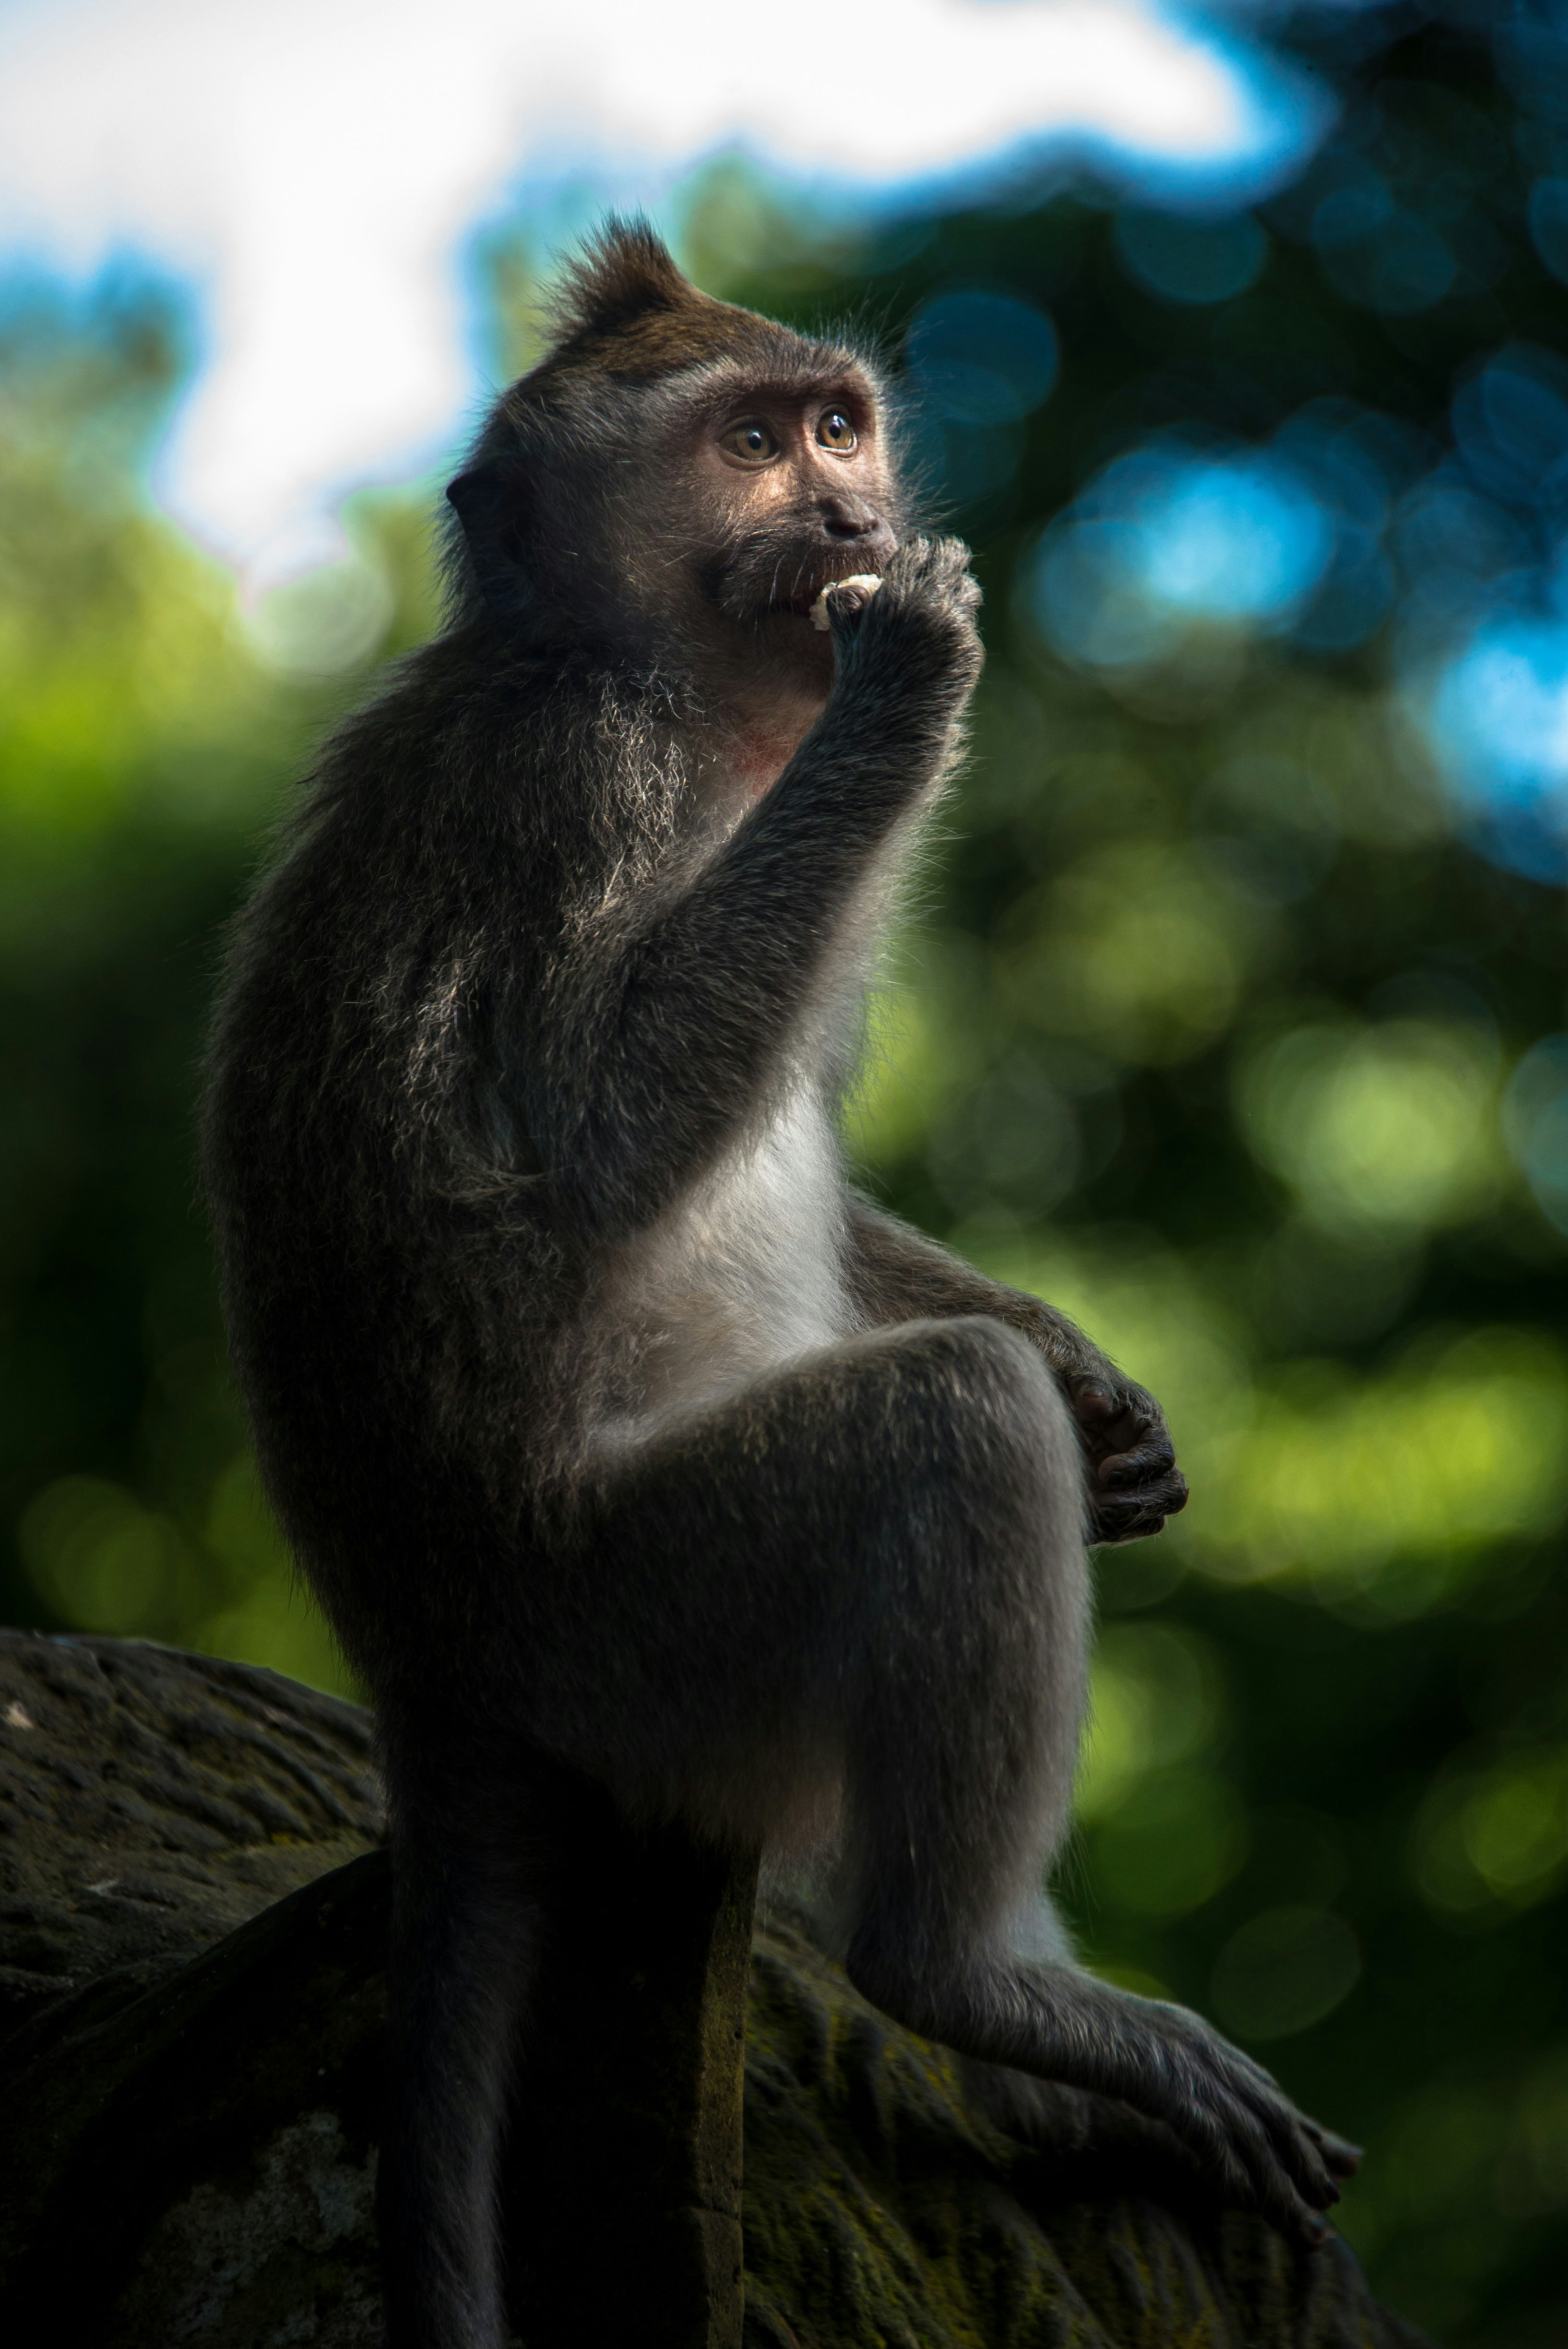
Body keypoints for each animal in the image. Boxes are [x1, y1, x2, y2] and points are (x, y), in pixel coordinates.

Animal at [200, 221, 1359, 2349]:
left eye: (835, 425)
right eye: (749, 446)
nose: (851, 514)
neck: (653, 673)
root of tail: (426, 1687)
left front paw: (1099, 1384)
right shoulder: (582, 774)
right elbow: (588, 1141)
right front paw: (911, 673)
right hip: (630, 1626)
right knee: (939, 1425)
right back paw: (964, 1981)